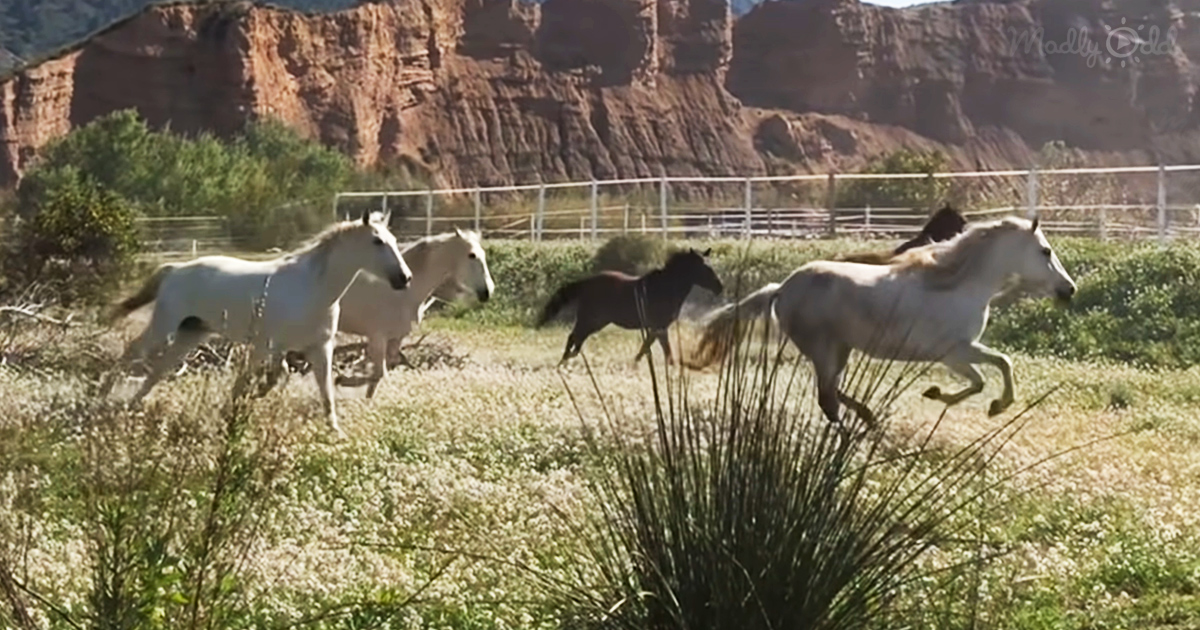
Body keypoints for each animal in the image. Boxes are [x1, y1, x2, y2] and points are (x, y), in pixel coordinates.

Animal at [100, 210, 413, 437]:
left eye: (394, 240)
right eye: (377, 241)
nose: (404, 278)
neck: (312, 289)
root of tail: (175, 269)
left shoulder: (319, 348)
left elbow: (324, 392)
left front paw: (336, 433)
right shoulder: (265, 346)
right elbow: (245, 383)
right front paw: (230, 418)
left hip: (192, 333)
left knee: (160, 369)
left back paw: (133, 406)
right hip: (165, 326)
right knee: (133, 351)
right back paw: (102, 395)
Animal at [293, 227, 494, 398]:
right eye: (472, 255)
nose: (487, 292)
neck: (404, 292)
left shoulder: (395, 338)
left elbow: (382, 373)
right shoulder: (378, 337)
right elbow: (379, 373)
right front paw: (343, 379)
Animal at [537, 247, 724, 365]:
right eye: (704, 268)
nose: (719, 287)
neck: (665, 288)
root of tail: (586, 283)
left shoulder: (657, 327)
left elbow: (652, 346)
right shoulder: (659, 326)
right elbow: (660, 348)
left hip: (594, 322)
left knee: (577, 339)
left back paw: (568, 359)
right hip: (591, 320)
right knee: (574, 337)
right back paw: (563, 362)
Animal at [683, 216, 1076, 428]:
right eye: (1045, 251)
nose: (1068, 289)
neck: (958, 284)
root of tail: (781, 288)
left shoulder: (957, 354)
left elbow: (983, 378)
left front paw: (940, 394)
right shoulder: (956, 351)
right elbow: (999, 366)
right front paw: (996, 405)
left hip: (840, 349)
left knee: (832, 391)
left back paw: (868, 419)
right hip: (823, 349)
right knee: (827, 398)